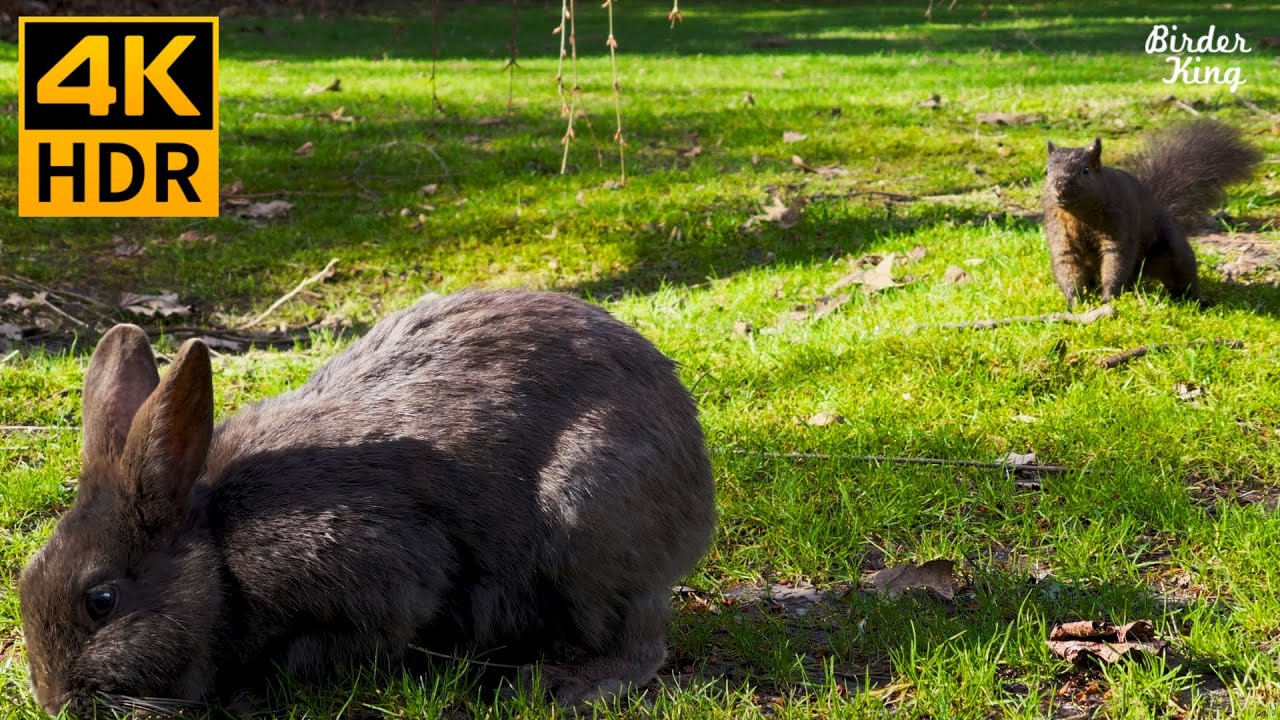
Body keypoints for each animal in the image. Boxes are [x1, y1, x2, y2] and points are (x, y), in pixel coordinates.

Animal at [19, 289, 716, 717]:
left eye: (101, 601)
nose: (52, 701)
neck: (217, 551)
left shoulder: (380, 580)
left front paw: (249, 694)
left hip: (589, 523)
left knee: (635, 641)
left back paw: (569, 684)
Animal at [1042, 119, 1261, 308]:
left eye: (1085, 170)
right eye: (1047, 171)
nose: (1060, 187)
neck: (1080, 215)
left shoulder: (1120, 222)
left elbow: (1116, 260)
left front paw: (1108, 298)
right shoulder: (1060, 232)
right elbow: (1066, 263)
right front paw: (1075, 302)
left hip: (1173, 250)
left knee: (1182, 277)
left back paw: (1199, 300)